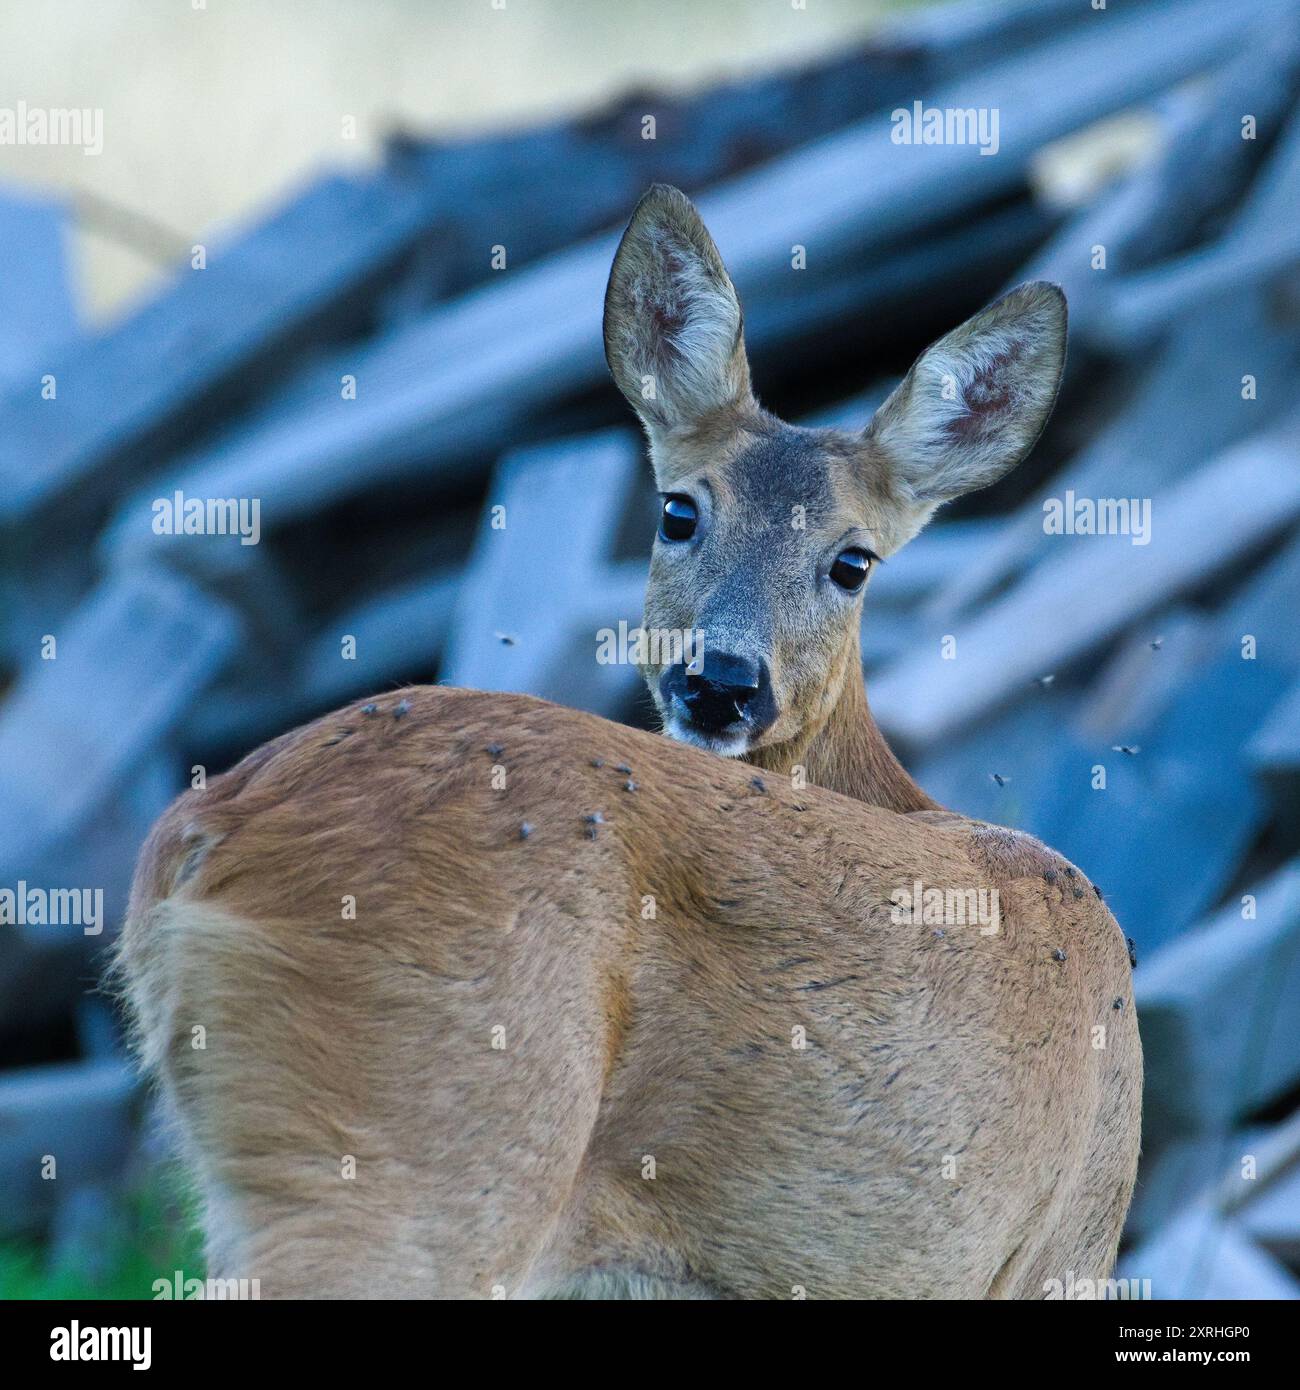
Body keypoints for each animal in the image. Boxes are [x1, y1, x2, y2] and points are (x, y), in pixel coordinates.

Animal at [117, 186, 1141, 1300]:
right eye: (679, 510)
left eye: (853, 561)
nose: (722, 682)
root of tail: (202, 834)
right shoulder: (1057, 1248)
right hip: (418, 1158)